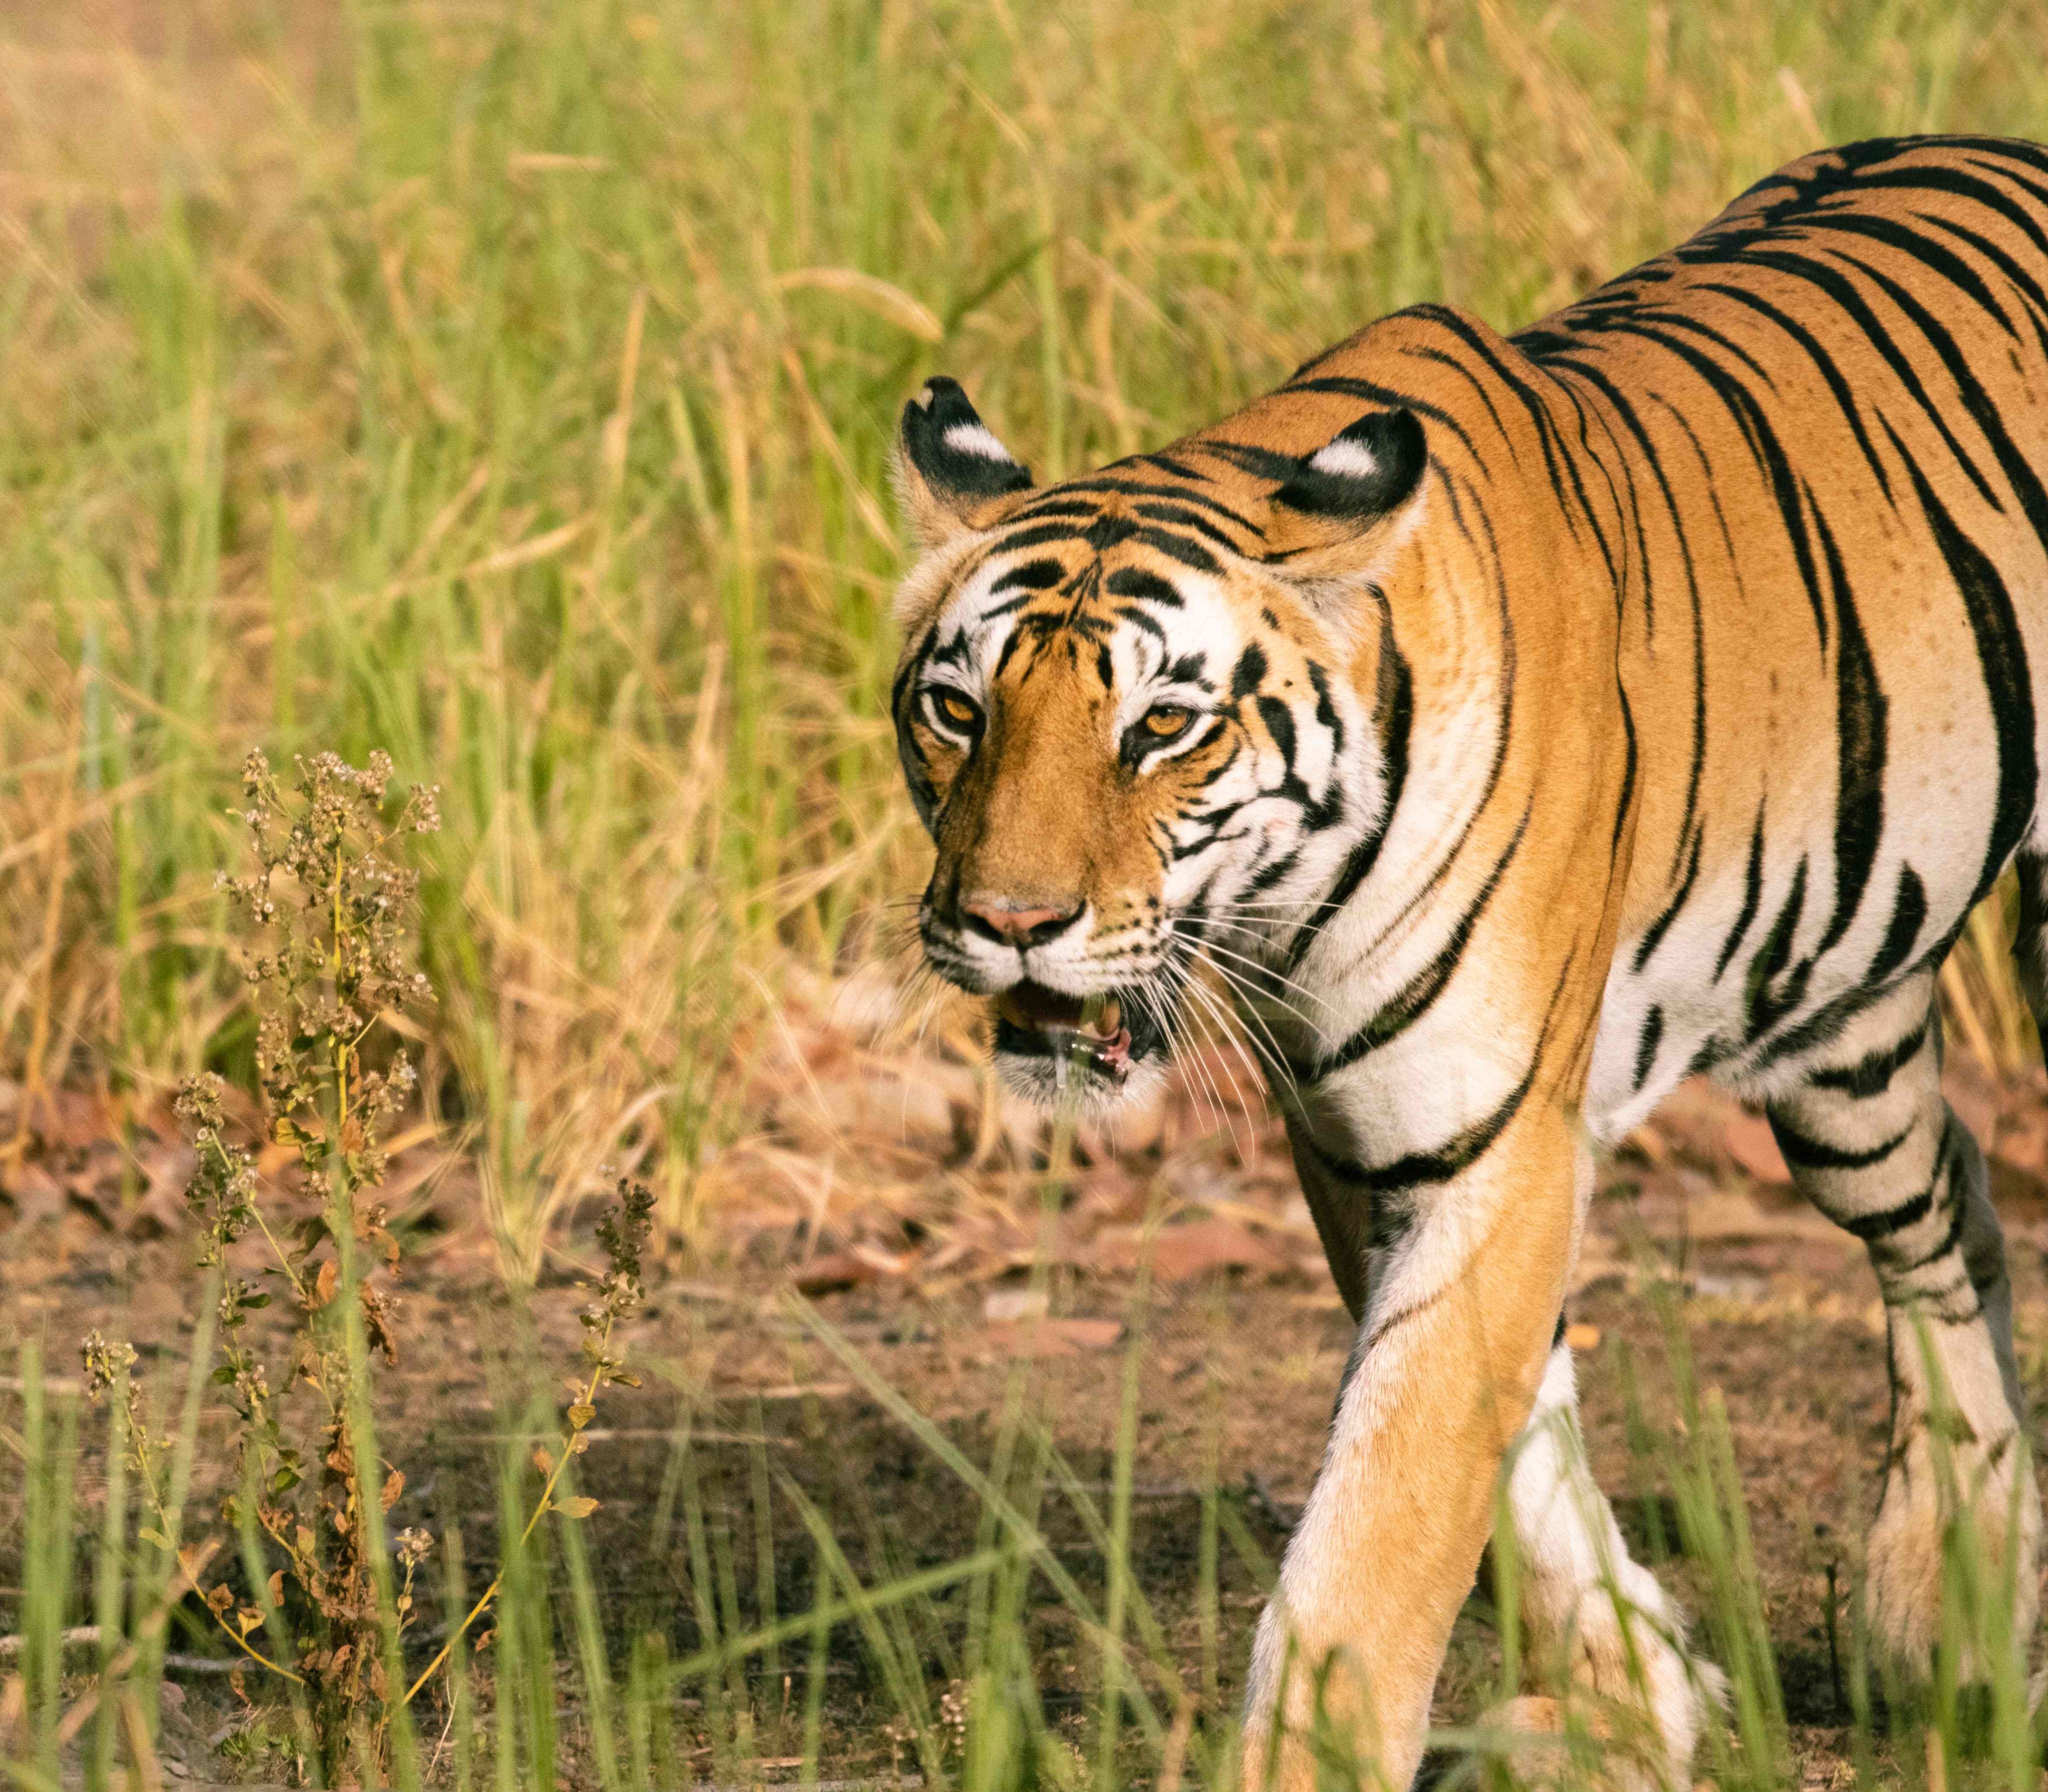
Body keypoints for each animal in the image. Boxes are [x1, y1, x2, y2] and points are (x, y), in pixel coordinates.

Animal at [887, 135, 2048, 1788]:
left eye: (1164, 726)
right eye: (958, 711)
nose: (1009, 920)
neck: (1290, 914)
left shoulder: (1490, 1134)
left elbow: (1391, 1508)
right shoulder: (1364, 1144)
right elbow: (1502, 1451)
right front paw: (1634, 1698)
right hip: (1840, 1008)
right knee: (1945, 1210)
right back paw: (1944, 1612)